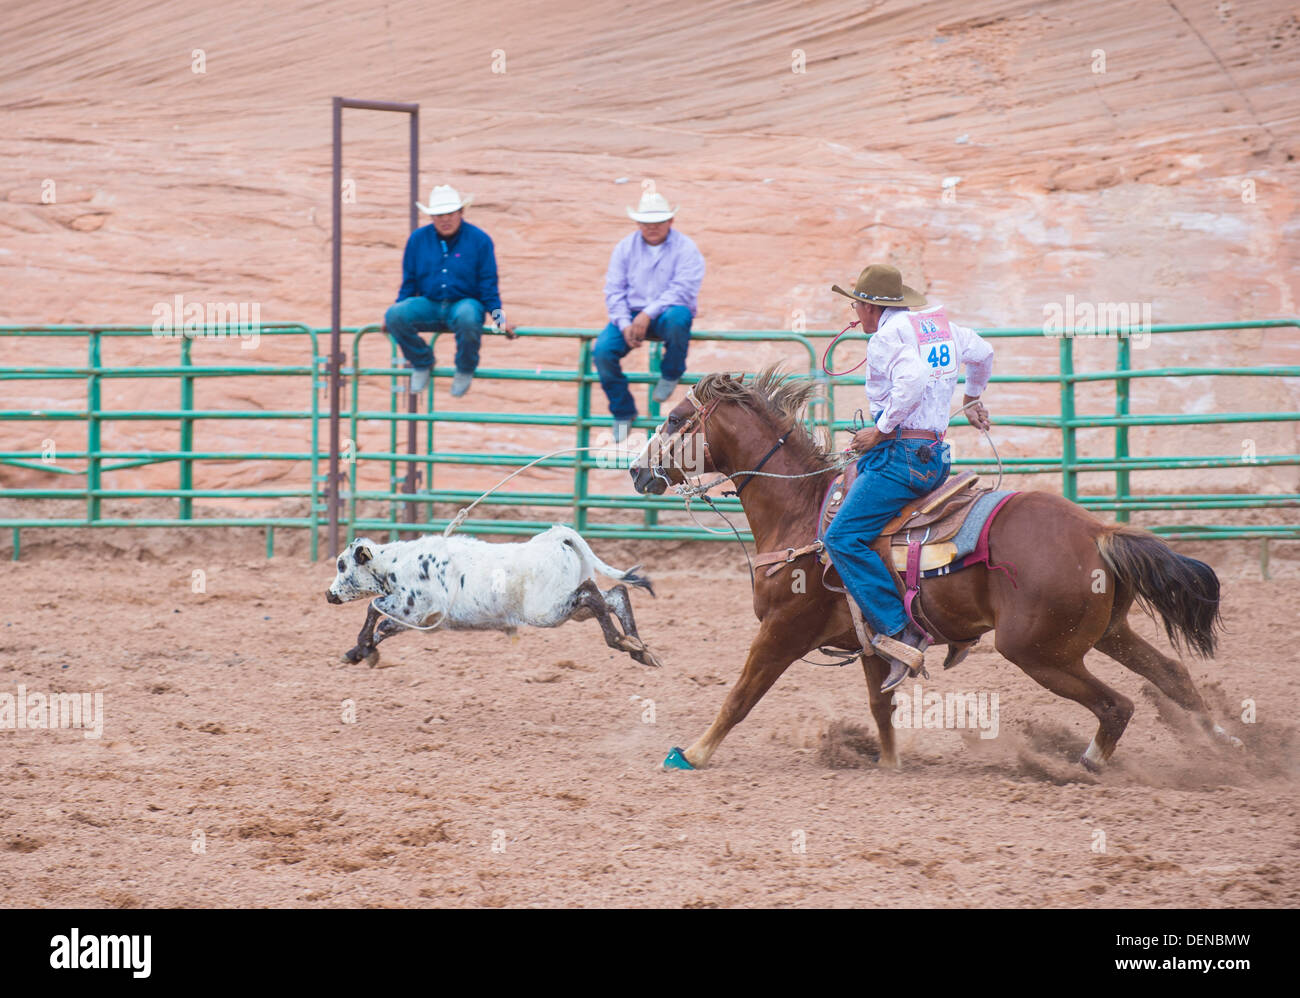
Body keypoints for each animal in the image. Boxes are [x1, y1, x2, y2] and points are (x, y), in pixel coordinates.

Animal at [325, 524, 662, 668]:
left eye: (342, 565)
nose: (329, 594)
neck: (396, 563)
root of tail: (556, 537)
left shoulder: (411, 609)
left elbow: (375, 610)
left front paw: (364, 650)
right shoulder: (416, 619)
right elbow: (382, 625)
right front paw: (357, 652)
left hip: (548, 611)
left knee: (591, 593)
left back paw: (620, 642)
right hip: (569, 609)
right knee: (614, 595)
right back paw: (639, 648)